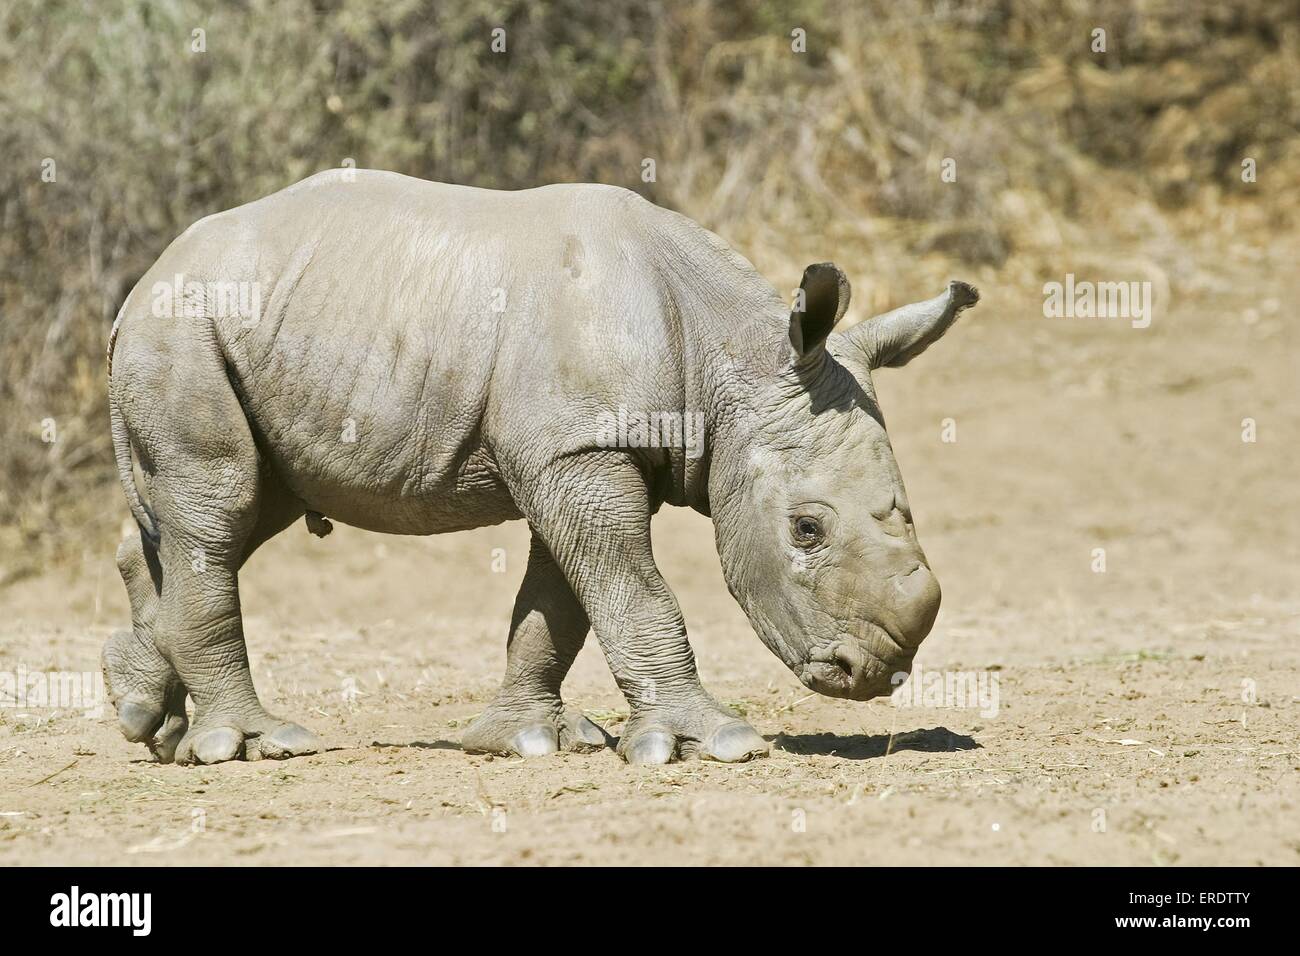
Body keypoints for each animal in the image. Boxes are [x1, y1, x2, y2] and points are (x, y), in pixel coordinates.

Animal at [102, 169, 978, 766]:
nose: (873, 673)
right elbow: (633, 590)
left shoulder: (578, 449)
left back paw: (148, 717)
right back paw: (255, 744)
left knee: (242, 509)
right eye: (805, 530)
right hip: (182, 328)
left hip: (264, 328)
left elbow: (557, 600)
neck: (727, 356)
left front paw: (534, 739)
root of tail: (141, 282)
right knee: (221, 505)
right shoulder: (579, 448)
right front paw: (713, 742)